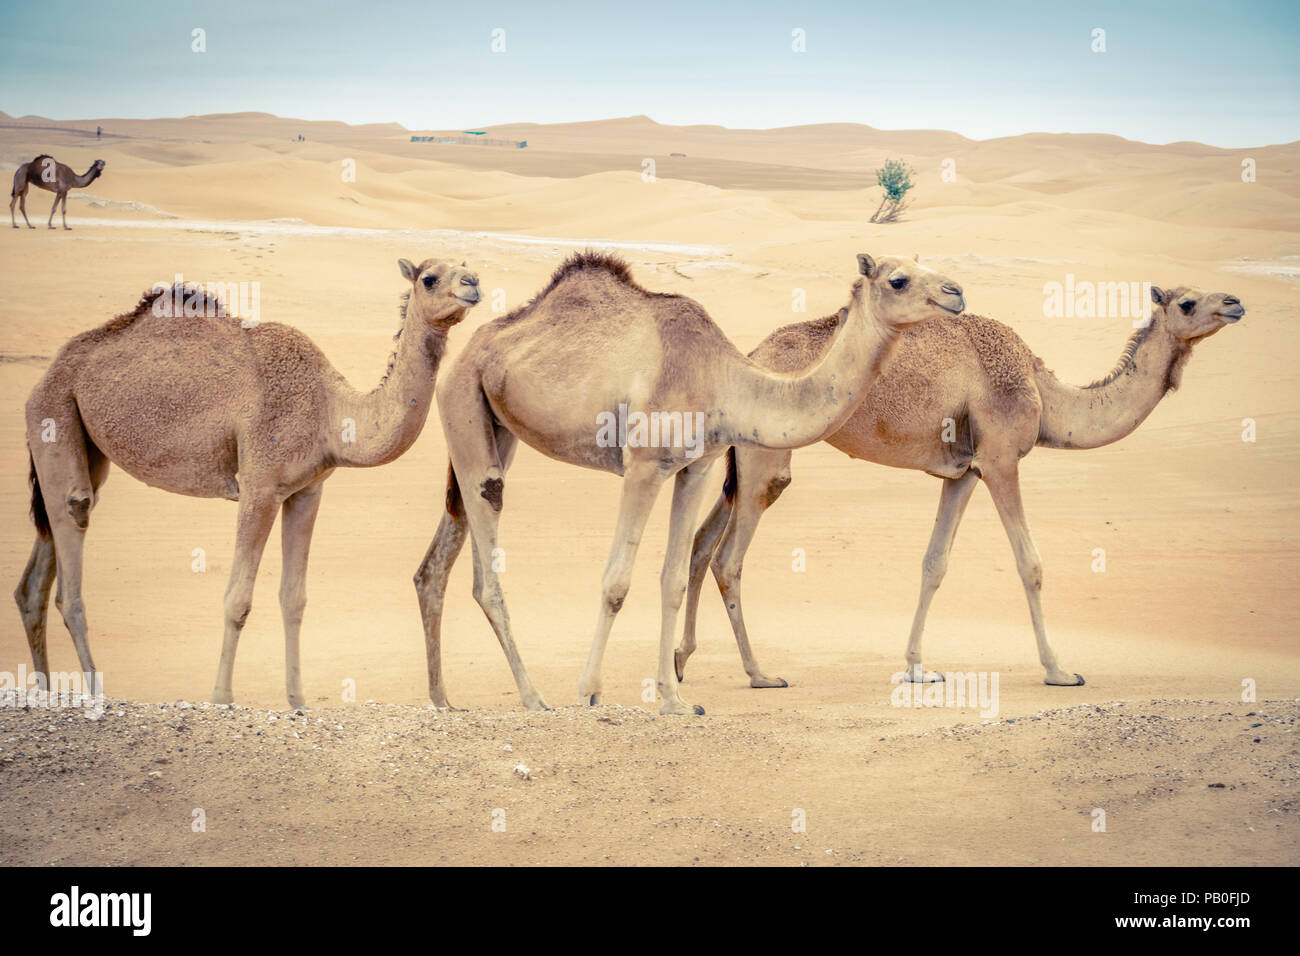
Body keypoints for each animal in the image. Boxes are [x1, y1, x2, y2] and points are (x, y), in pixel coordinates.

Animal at [17, 258, 482, 707]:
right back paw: (95, 693)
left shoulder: (307, 490)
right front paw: (222, 697)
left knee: (36, 579)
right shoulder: (259, 483)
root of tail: (50, 371)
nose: (473, 283)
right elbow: (237, 599)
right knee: (72, 531)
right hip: (54, 410)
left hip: (82, 440)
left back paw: (46, 692)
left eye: (465, 265)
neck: (331, 412)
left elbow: (294, 598)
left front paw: (298, 700)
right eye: (429, 277)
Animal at [414, 250, 966, 715]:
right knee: (486, 562)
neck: (724, 380)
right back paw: (533, 698)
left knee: (438, 560)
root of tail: (468, 351)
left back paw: (444, 700)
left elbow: (674, 578)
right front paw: (590, 691)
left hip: (496, 429)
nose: (956, 292)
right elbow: (616, 581)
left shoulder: (696, 467)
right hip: (463, 403)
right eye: (898, 278)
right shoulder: (643, 464)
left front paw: (675, 700)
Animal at [675, 284, 1246, 689]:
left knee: (701, 543)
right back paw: (760, 674)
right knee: (729, 558)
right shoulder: (1000, 459)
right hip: (767, 461)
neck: (1044, 394)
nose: (1236, 302)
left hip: (737, 458)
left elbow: (934, 563)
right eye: (1188, 302)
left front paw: (916, 668)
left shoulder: (965, 473)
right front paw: (1060, 670)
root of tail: (751, 355)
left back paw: (682, 660)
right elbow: (1030, 563)